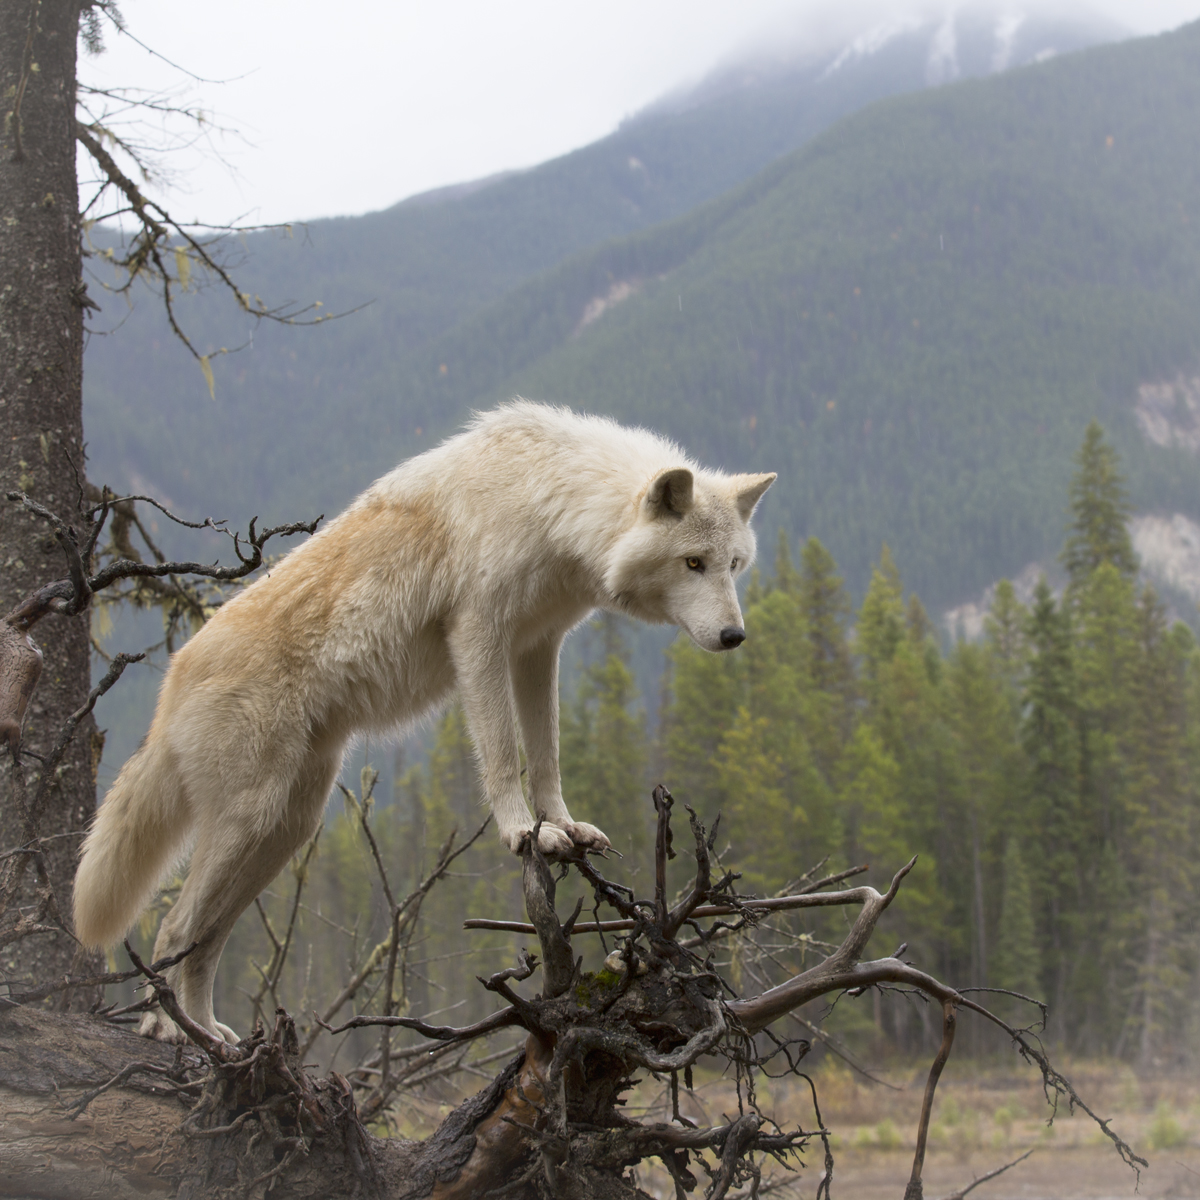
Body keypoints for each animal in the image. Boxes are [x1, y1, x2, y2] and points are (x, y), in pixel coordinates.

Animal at [73, 402, 774, 1041]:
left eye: (734, 566)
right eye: (693, 563)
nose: (736, 637)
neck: (549, 502)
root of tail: (167, 690)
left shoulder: (538, 646)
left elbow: (545, 755)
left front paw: (563, 827)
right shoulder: (480, 637)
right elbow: (503, 755)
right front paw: (522, 832)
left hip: (284, 831)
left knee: (206, 940)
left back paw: (208, 1034)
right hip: (249, 822)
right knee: (173, 926)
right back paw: (171, 1033)